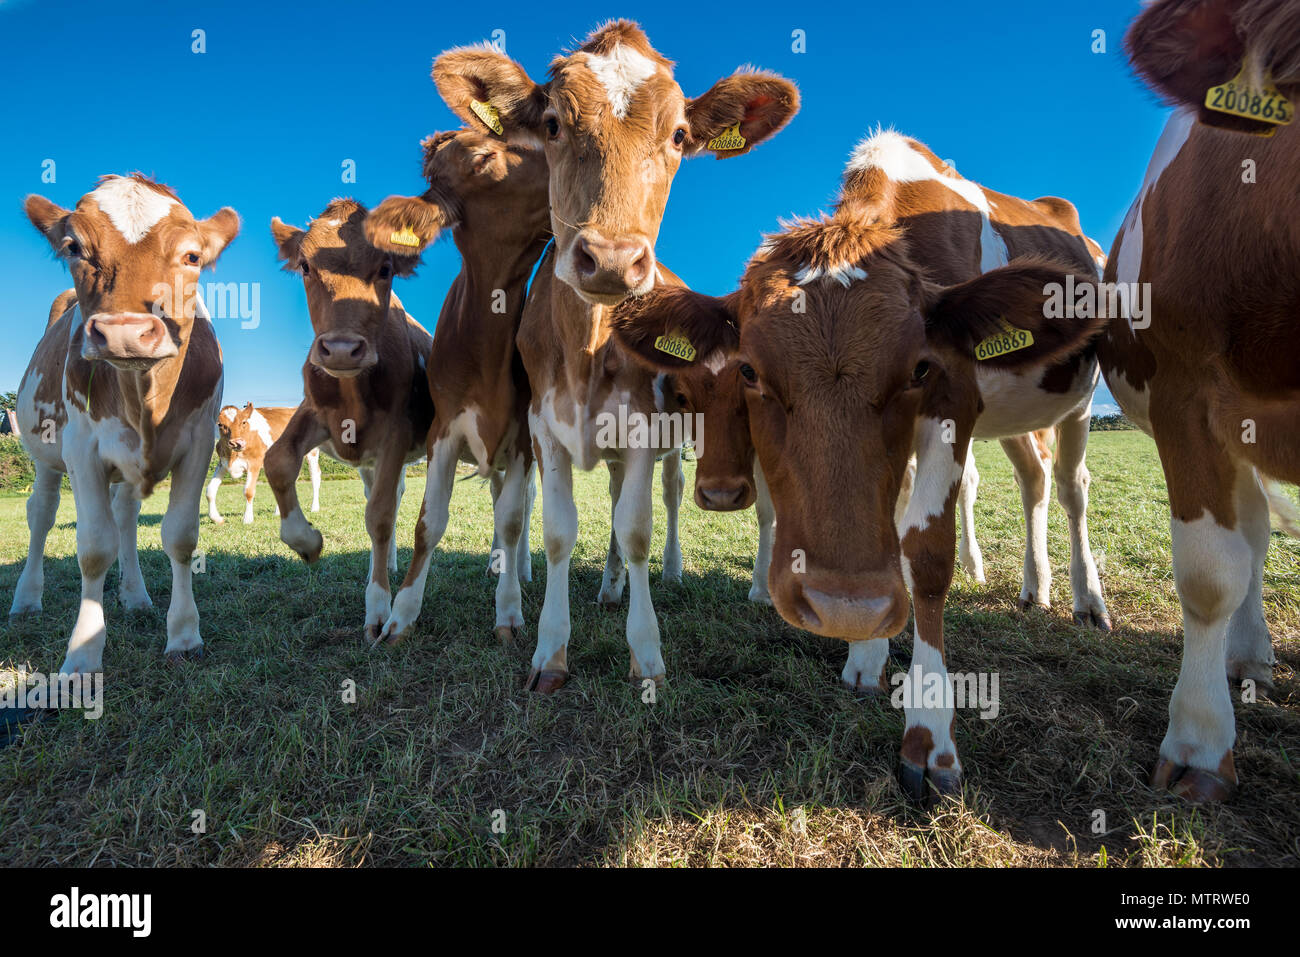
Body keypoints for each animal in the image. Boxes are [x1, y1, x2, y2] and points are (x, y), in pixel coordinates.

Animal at [9, 174, 239, 674]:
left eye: (192, 256)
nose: (124, 333)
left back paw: (135, 595)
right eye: (74, 247)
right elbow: (95, 547)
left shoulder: (198, 444)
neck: (144, 398)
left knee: (126, 517)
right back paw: (26, 599)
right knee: (41, 515)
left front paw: (184, 635)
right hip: (47, 458)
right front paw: (82, 653)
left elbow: (180, 537)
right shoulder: (81, 450)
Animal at [264, 200, 435, 643]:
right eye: (305, 265)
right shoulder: (314, 413)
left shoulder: (396, 433)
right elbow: (277, 461)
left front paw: (377, 607)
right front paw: (306, 542)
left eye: (386, 267)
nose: (341, 348)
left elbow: (379, 517)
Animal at [428, 21, 799, 691]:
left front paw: (646, 653)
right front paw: (550, 650)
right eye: (552, 123)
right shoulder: (543, 429)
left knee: (669, 498)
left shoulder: (645, 429)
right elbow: (556, 533)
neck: (585, 351)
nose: (609, 259)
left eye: (678, 135)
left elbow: (636, 529)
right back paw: (607, 586)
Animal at [611, 133, 1109, 798]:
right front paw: (866, 655)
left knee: (1072, 488)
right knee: (1032, 481)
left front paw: (930, 733)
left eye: (919, 368)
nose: (842, 608)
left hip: (1077, 402)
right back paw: (1034, 586)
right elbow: (893, 532)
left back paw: (1087, 599)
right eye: (749, 370)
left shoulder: (955, 396)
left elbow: (925, 554)